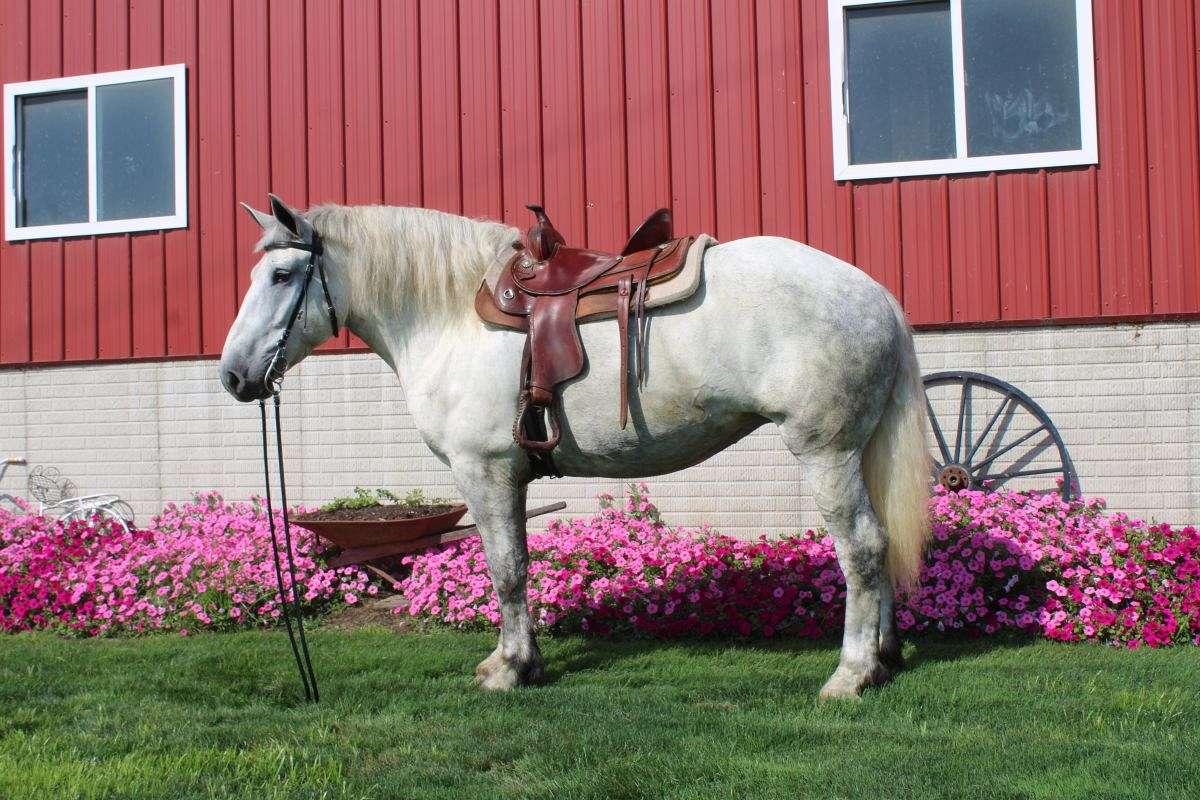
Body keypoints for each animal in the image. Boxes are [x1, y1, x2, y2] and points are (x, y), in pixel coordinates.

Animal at [220, 195, 930, 699]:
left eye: (281, 274)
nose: (233, 376)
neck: (450, 315)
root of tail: (875, 295)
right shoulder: (511, 477)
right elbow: (519, 564)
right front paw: (522, 660)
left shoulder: (485, 472)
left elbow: (506, 569)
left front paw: (510, 668)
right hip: (855, 452)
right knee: (879, 544)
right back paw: (884, 658)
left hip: (826, 453)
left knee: (862, 548)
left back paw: (851, 674)